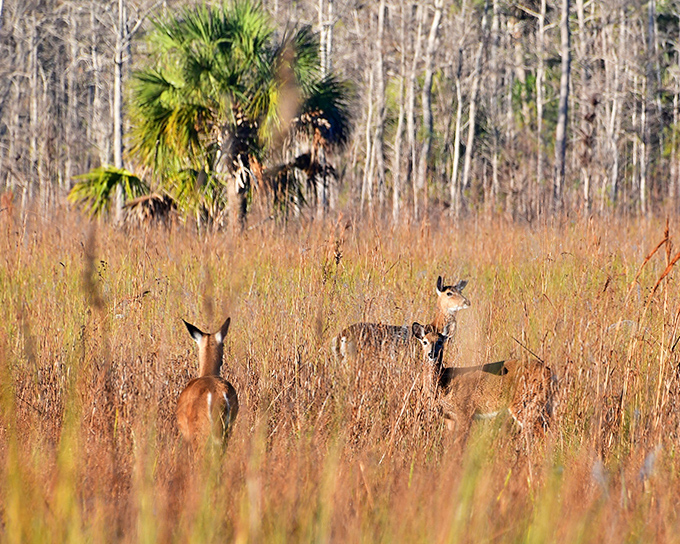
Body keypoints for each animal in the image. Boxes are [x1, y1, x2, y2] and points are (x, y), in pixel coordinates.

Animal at [412, 322, 555, 435]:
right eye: (425, 342)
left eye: (440, 342)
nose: (432, 354)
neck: (443, 384)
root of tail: (551, 373)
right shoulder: (449, 418)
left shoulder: (466, 411)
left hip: (525, 402)